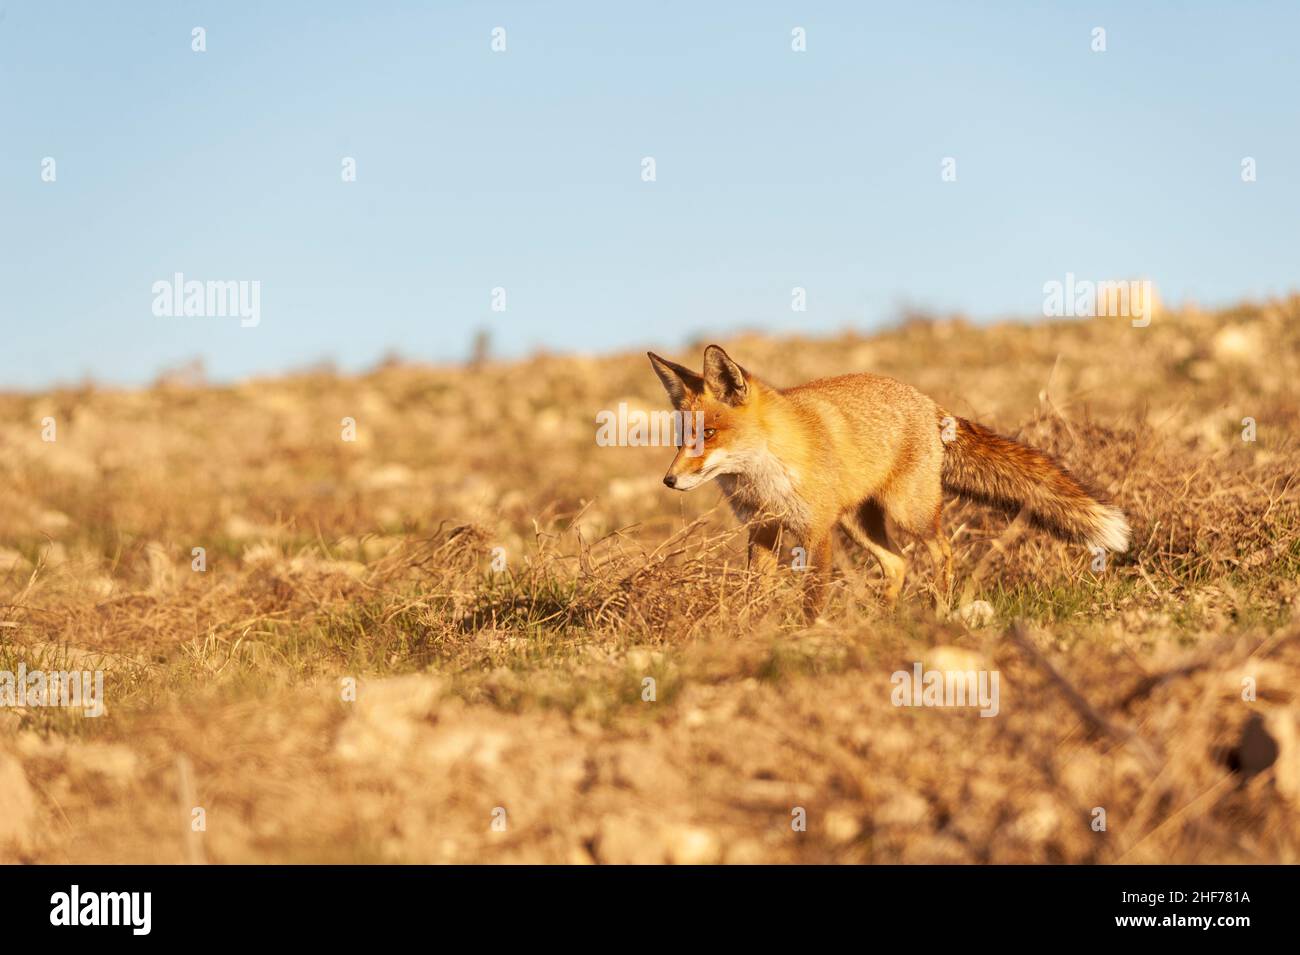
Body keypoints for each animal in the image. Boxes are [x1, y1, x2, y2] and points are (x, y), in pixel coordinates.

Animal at [648, 345, 1131, 618]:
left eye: (709, 434)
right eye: (682, 437)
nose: (669, 480)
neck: (763, 477)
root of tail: (930, 405)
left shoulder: (816, 532)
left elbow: (812, 598)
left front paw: (805, 635)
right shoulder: (762, 530)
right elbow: (756, 592)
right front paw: (754, 629)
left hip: (906, 513)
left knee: (942, 551)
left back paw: (939, 609)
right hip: (858, 524)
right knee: (897, 564)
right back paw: (881, 620)